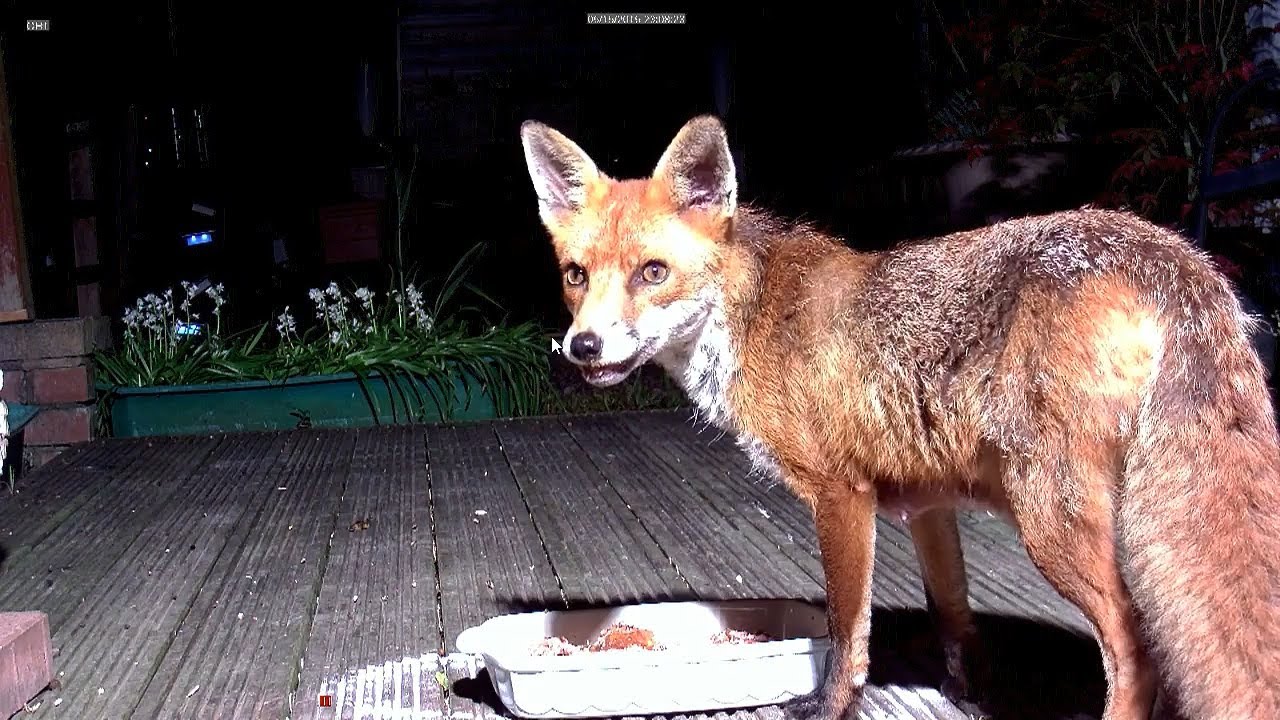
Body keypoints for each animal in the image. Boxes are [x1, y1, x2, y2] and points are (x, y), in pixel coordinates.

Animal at [518, 114, 1280, 720]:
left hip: (1049, 517)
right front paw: (969, 693)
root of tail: (1169, 253)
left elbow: (846, 634)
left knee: (1135, 648)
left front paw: (829, 707)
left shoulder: (840, 494)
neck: (749, 317)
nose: (583, 347)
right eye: (576, 276)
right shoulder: (927, 508)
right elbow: (955, 620)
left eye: (652, 272)